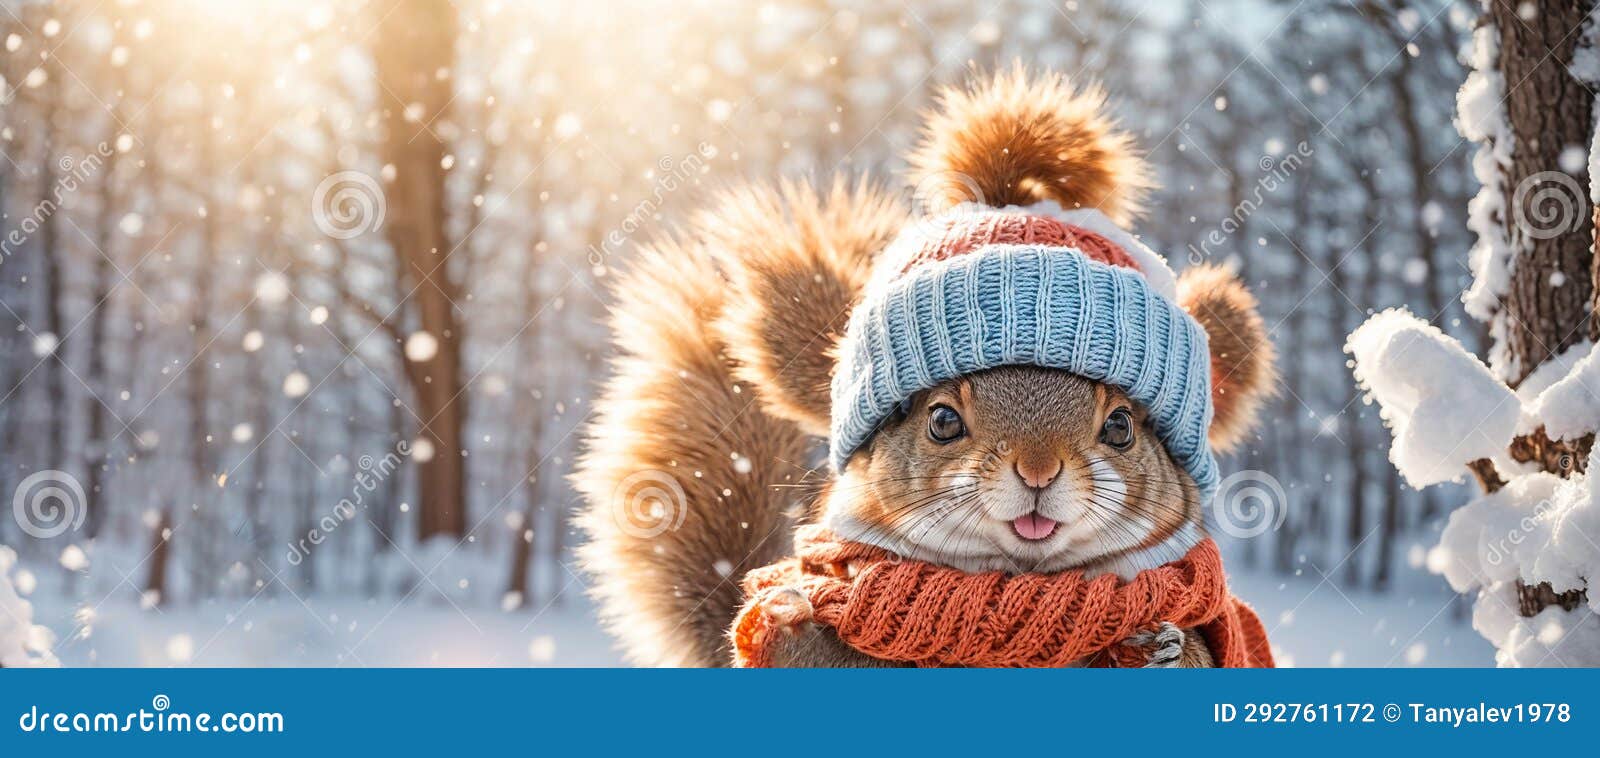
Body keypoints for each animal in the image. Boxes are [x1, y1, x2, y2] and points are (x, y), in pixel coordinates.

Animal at [574, 66, 1277, 668]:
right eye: (941, 421)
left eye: (1122, 427)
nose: (1038, 471)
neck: (1014, 589)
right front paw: (788, 611)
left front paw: (1159, 644)